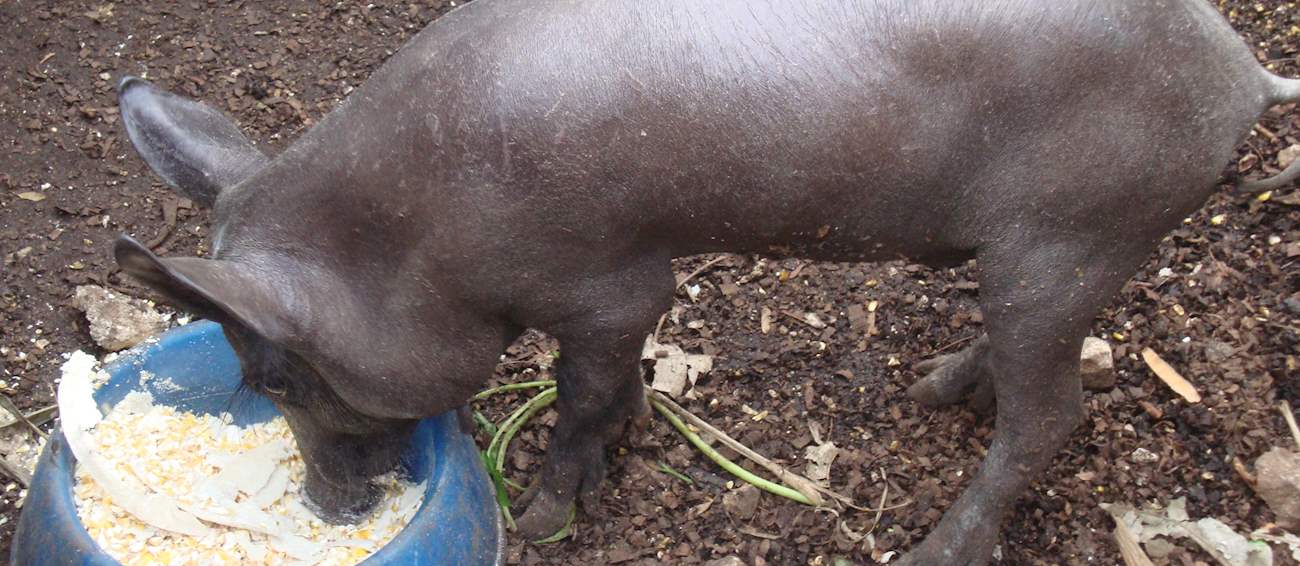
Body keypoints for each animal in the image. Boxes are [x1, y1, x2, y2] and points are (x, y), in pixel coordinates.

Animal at [111, 0, 1294, 563]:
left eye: (274, 381)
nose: (321, 504)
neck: (420, 238)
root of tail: (1243, 75)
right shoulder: (629, 284)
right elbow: (614, 380)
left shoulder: (607, 279)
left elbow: (584, 388)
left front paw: (543, 519)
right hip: (1061, 254)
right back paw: (928, 394)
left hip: (1071, 239)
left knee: (1053, 415)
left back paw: (929, 550)